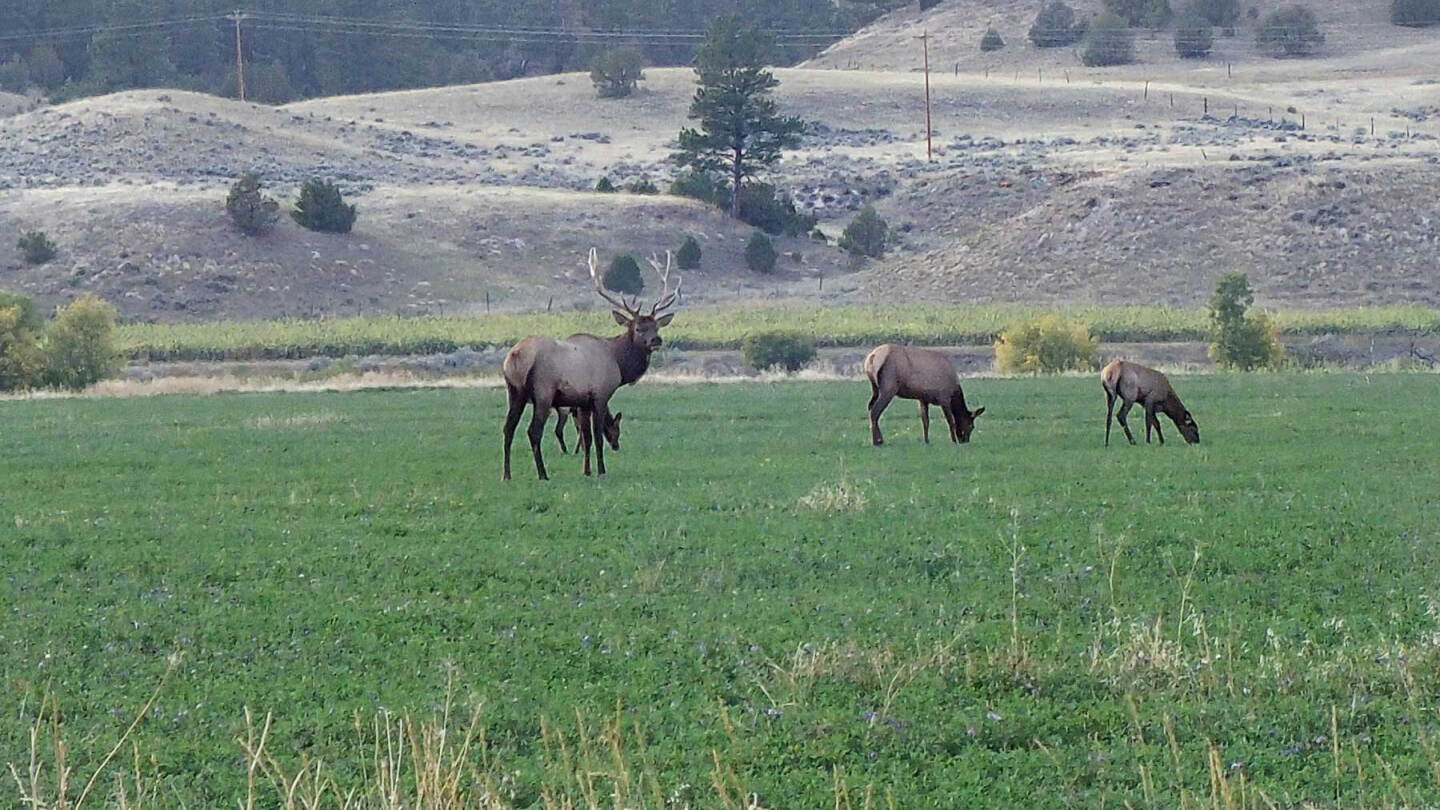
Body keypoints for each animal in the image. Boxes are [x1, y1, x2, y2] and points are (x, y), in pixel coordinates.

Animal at [501, 249, 679, 481]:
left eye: (656, 326)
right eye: (638, 328)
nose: (656, 340)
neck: (618, 362)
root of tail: (515, 355)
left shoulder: (581, 402)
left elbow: (585, 437)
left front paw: (586, 471)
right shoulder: (600, 395)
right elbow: (597, 436)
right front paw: (601, 471)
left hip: (514, 391)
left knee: (508, 428)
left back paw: (506, 475)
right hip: (543, 392)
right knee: (533, 431)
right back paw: (542, 474)